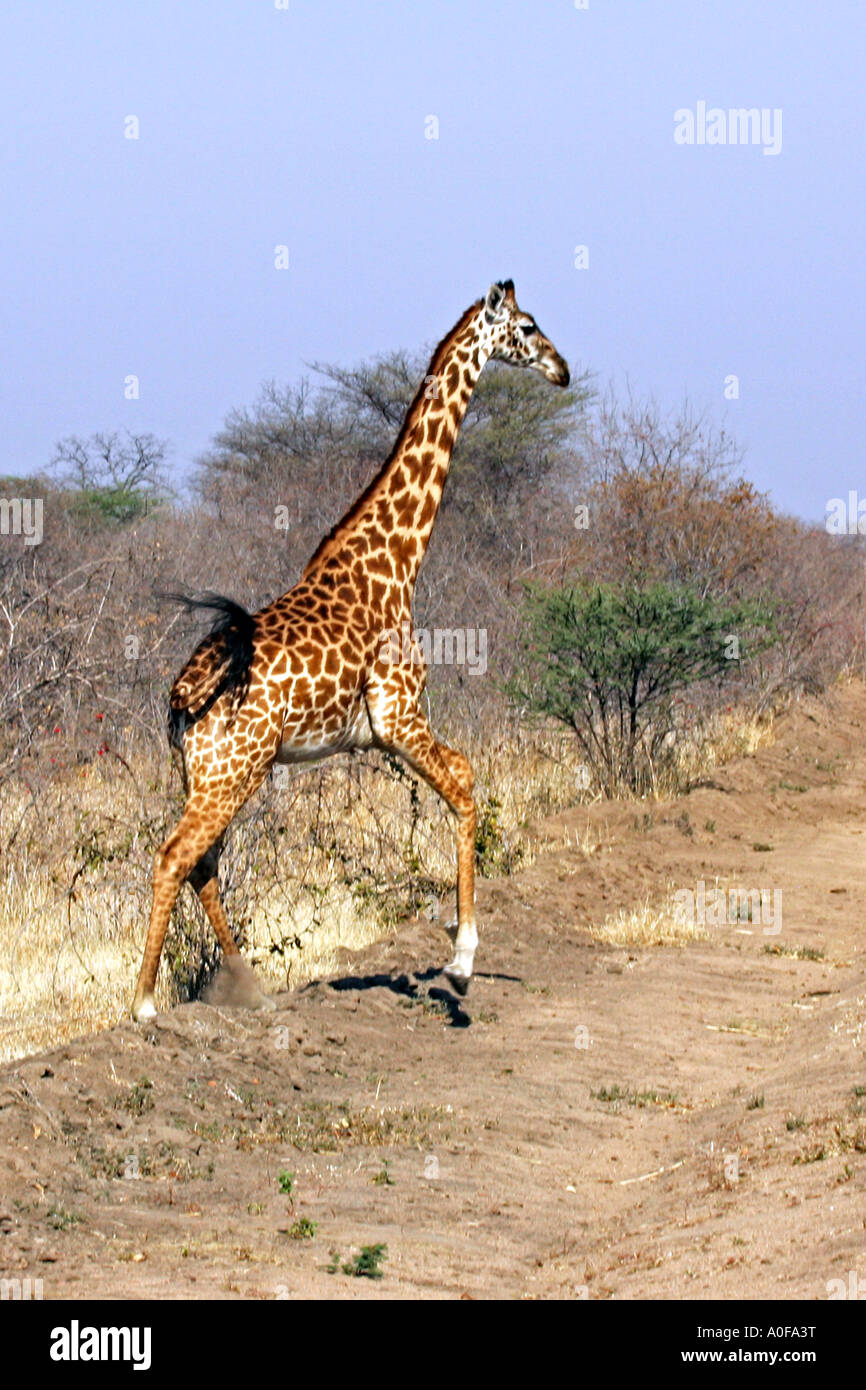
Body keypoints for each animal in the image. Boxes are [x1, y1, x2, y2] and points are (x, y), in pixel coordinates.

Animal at [131, 280, 570, 1021]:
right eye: (530, 325)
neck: (396, 562)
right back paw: (142, 1007)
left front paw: (459, 954)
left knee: (203, 865)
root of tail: (184, 697)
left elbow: (463, 778)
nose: (564, 370)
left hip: (206, 772)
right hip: (233, 772)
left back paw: (252, 989)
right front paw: (461, 963)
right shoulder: (399, 714)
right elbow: (466, 784)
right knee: (174, 858)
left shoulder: (381, 732)